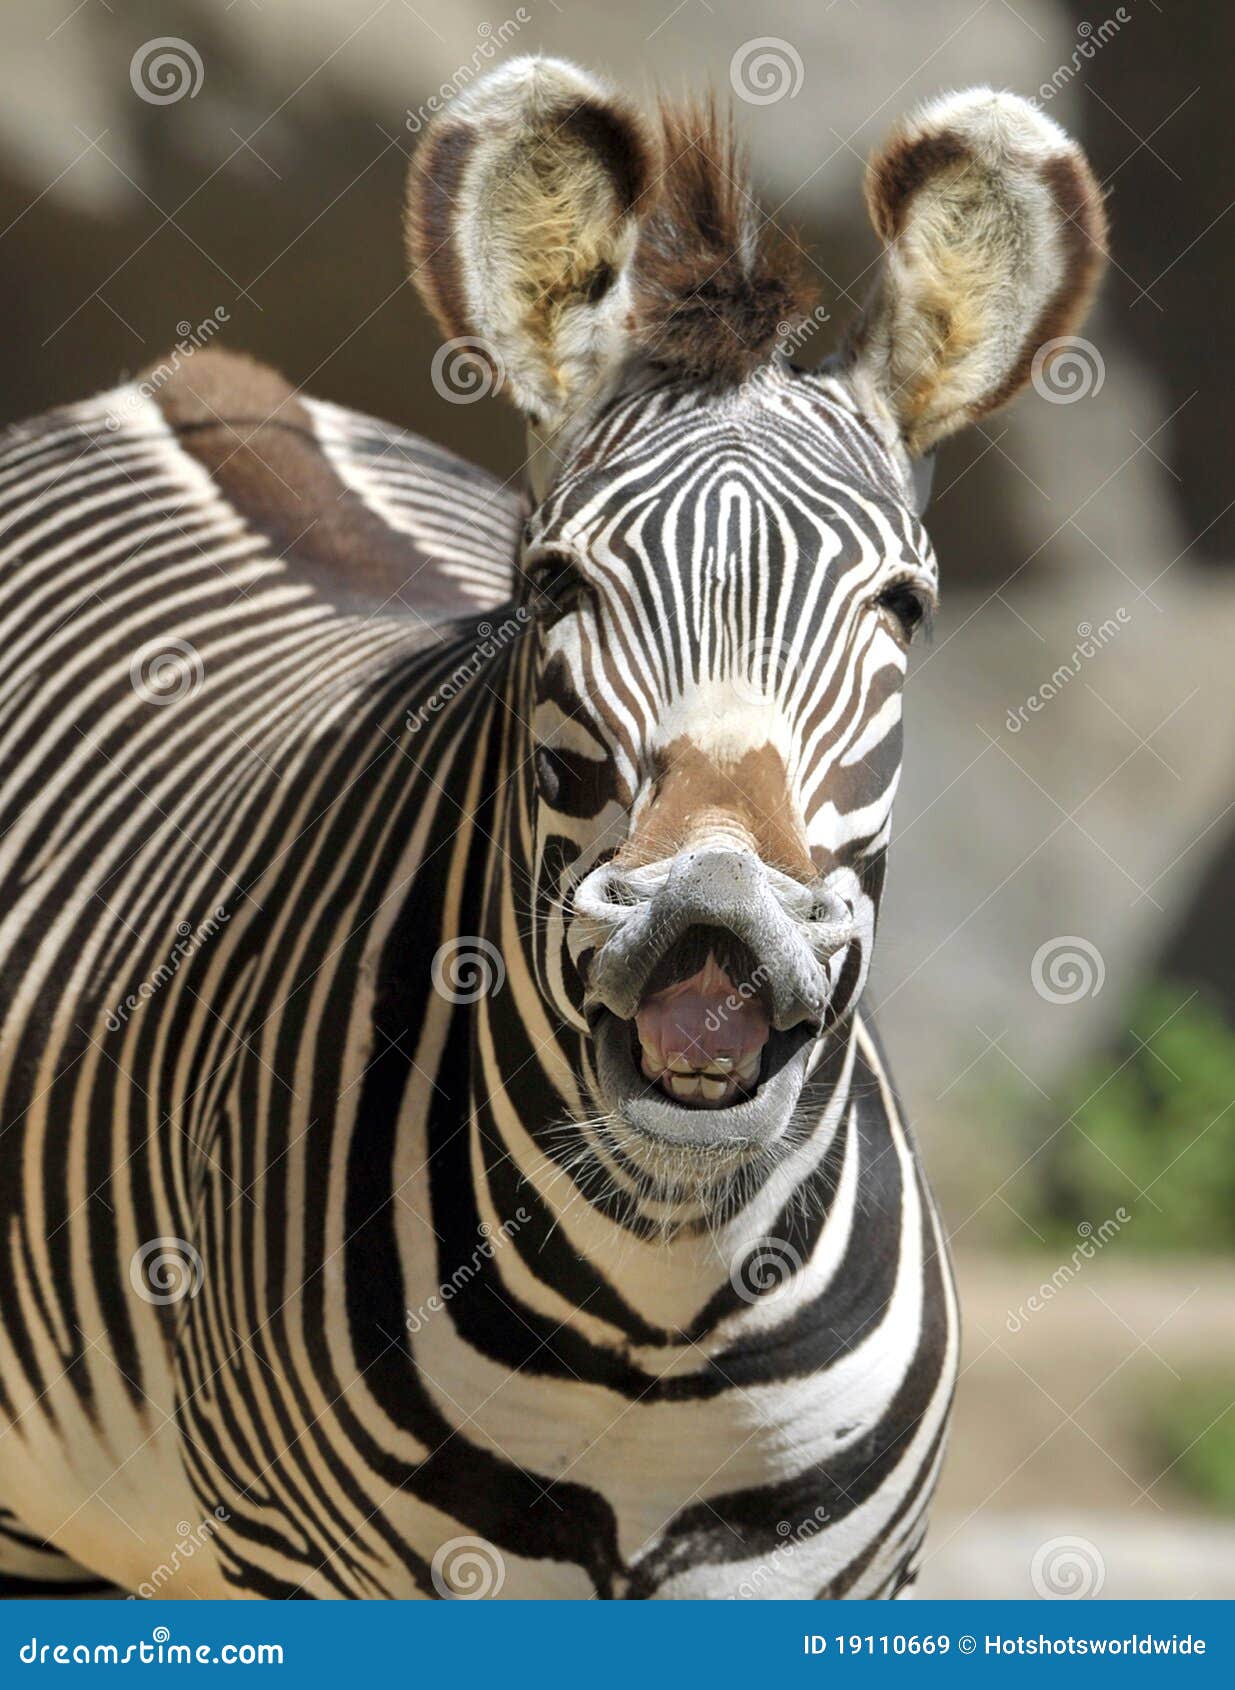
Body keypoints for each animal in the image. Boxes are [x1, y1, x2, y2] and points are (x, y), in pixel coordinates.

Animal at [0, 58, 1104, 1599]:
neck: (664, 1305)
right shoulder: (305, 1562)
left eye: (903, 606)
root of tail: (196, 386)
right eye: (552, 585)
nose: (711, 922)